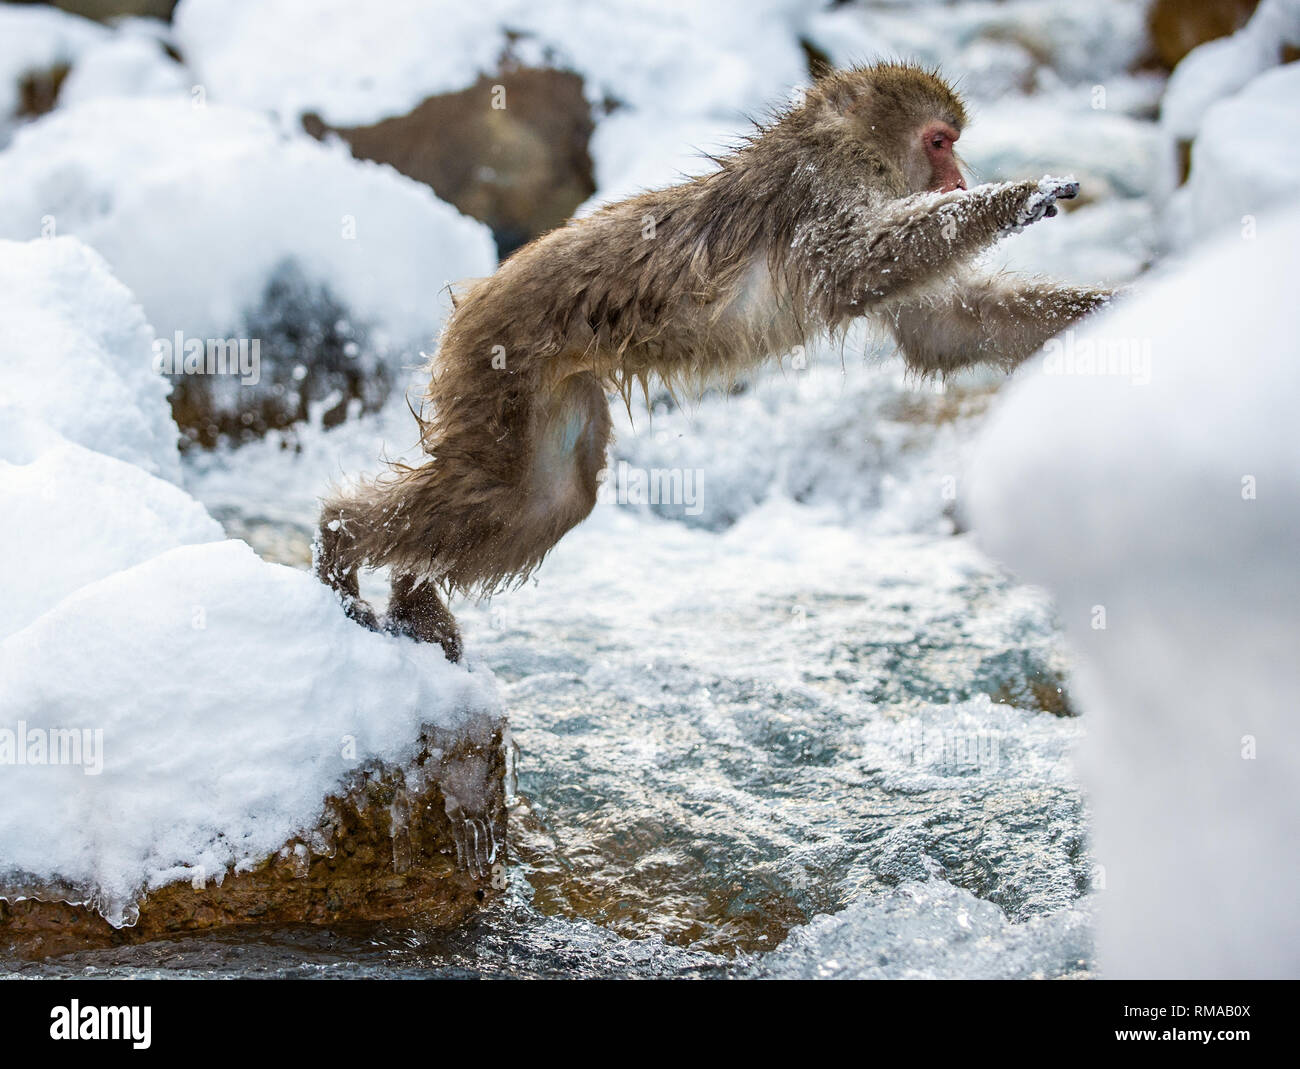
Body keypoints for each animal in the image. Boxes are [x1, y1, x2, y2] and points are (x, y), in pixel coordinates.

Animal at [314, 62, 1115, 661]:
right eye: (941, 140)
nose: (958, 183)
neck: (843, 149)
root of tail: (474, 294)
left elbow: (941, 327)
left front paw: (1120, 311)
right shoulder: (821, 191)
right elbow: (855, 268)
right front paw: (1024, 195)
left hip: (545, 390)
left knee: (546, 500)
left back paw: (410, 591)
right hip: (495, 367)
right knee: (503, 493)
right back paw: (337, 540)